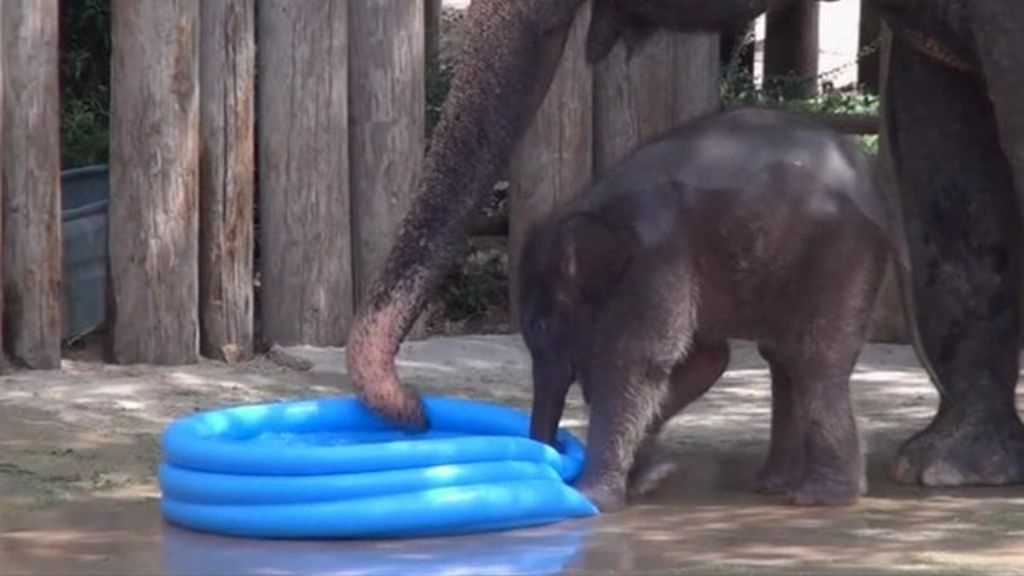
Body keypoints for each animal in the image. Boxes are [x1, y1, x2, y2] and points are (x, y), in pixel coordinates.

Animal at [518, 107, 890, 511]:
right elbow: (705, 360)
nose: (551, 451)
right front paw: (649, 478)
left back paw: (821, 496)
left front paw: (594, 498)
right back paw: (776, 484)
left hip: (840, 255)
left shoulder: (658, 256)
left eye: (539, 327)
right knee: (784, 356)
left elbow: (636, 361)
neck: (591, 206)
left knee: (813, 357)